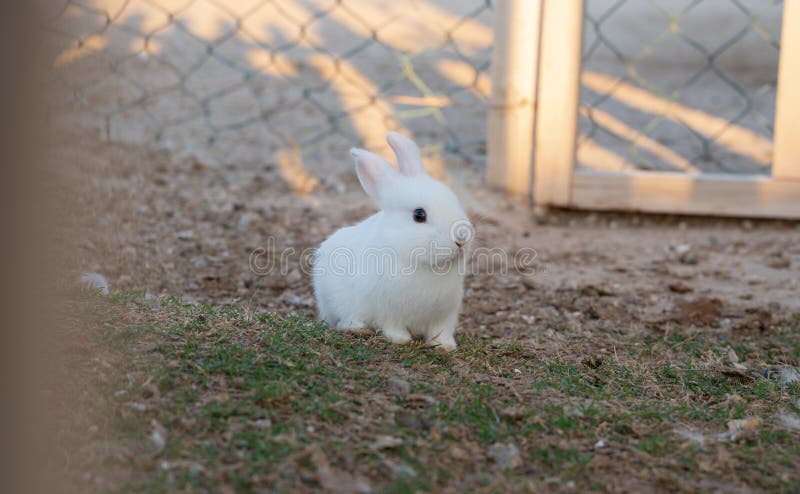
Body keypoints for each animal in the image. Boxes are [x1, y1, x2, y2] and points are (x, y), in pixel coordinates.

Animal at [312, 132, 474, 352]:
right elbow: (393, 327)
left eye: (454, 200)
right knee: (343, 321)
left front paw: (445, 347)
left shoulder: (444, 314)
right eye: (419, 215)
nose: (461, 239)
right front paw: (400, 340)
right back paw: (359, 329)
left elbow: (440, 332)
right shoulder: (388, 310)